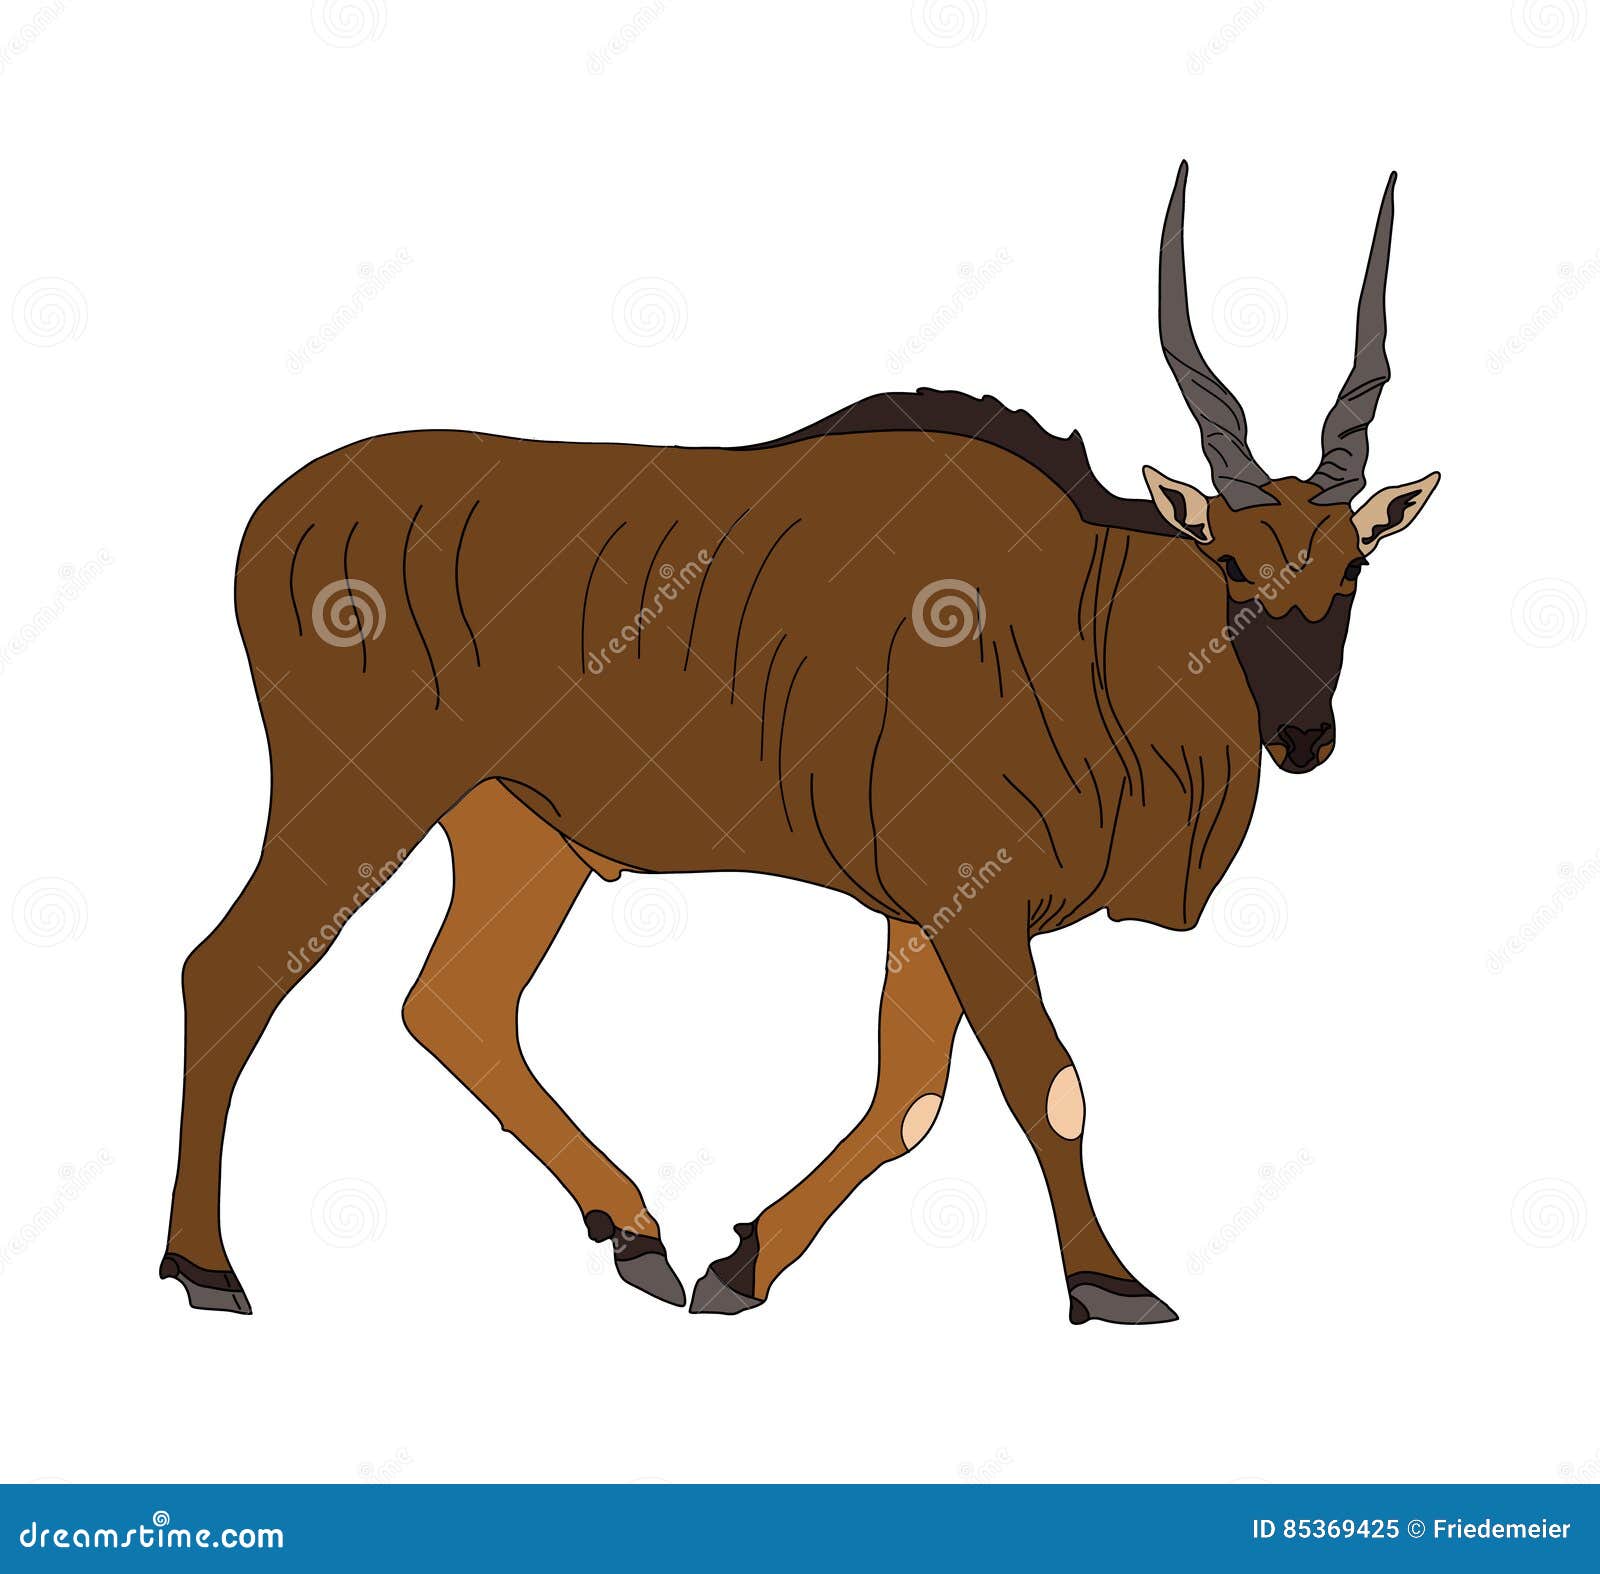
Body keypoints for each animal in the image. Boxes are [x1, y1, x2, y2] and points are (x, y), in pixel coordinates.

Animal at [164, 164, 1438, 1324]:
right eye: (1229, 561)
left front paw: (739, 1265)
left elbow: (909, 1098)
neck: (1076, 610)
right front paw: (1106, 1280)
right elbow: (1047, 1086)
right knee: (230, 967)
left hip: (516, 830)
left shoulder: (926, 915)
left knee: (453, 1004)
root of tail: (272, 514)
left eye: (1353, 565)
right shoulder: (974, 906)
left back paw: (636, 1232)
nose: (1303, 735)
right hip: (355, 800)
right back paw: (204, 1267)